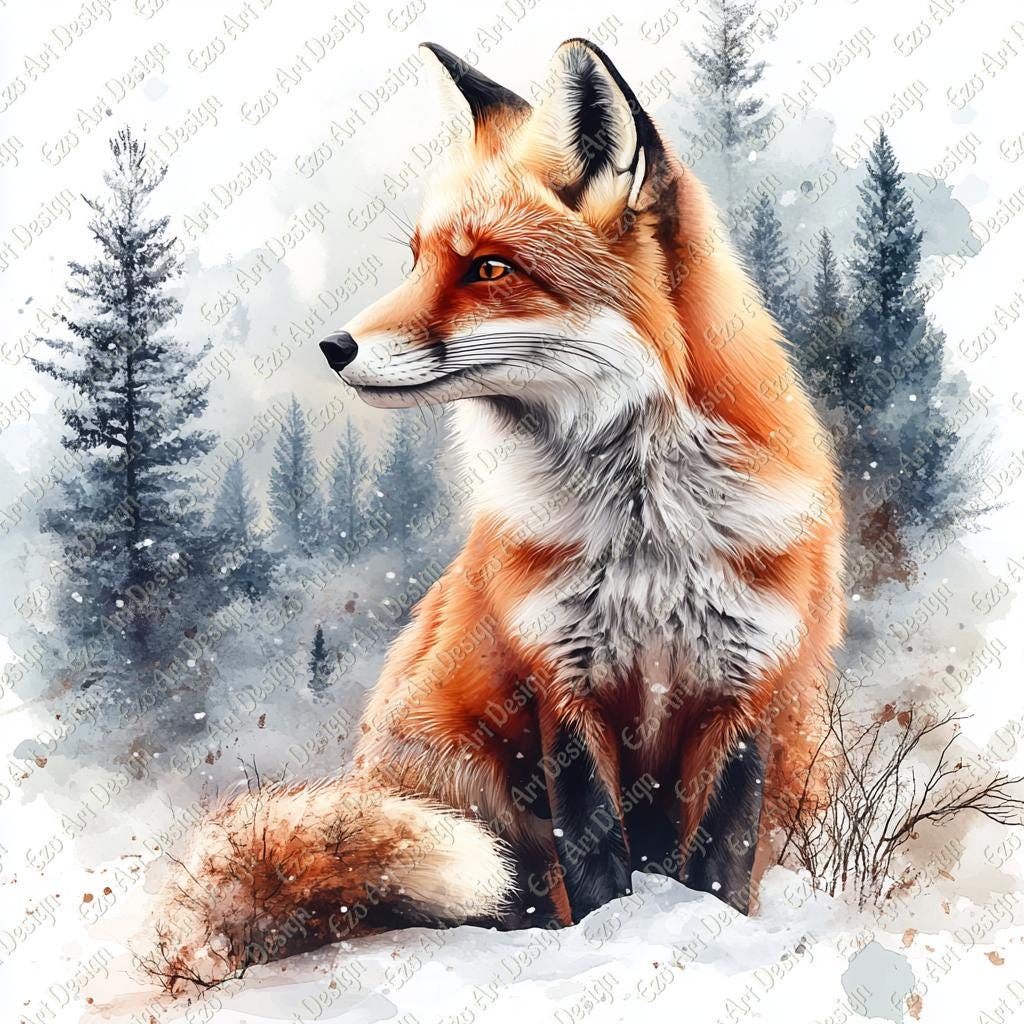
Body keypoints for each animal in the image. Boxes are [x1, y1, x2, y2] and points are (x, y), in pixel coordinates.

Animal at [153, 39, 844, 991]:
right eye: (415, 260)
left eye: (488, 268)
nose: (333, 347)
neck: (648, 533)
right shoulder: (561, 682)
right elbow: (596, 861)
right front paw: (614, 942)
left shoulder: (750, 690)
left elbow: (722, 863)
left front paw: (708, 934)